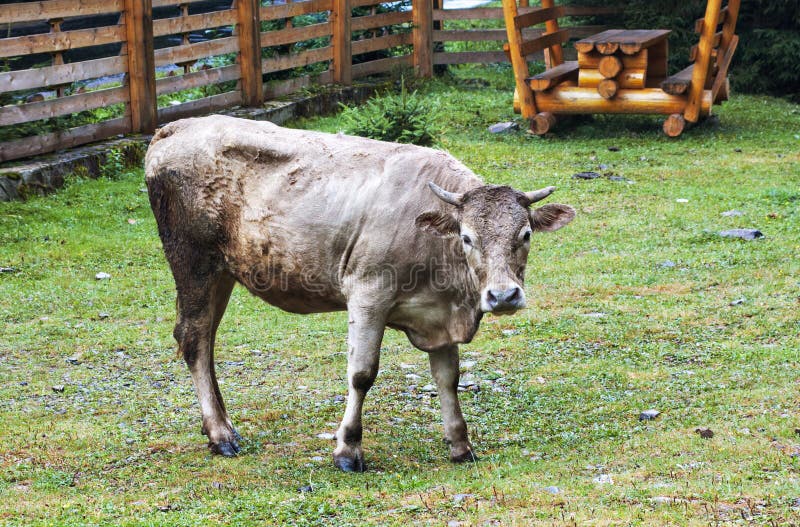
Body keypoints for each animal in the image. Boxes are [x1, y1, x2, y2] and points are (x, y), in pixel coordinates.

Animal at [145, 115, 574, 472]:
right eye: (467, 237)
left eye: (526, 234)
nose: (503, 296)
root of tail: (175, 128)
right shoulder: (368, 292)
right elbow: (362, 374)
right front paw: (348, 450)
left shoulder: (439, 315)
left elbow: (447, 378)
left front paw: (460, 444)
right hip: (193, 261)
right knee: (194, 338)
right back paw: (221, 435)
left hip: (222, 272)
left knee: (205, 341)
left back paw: (220, 427)